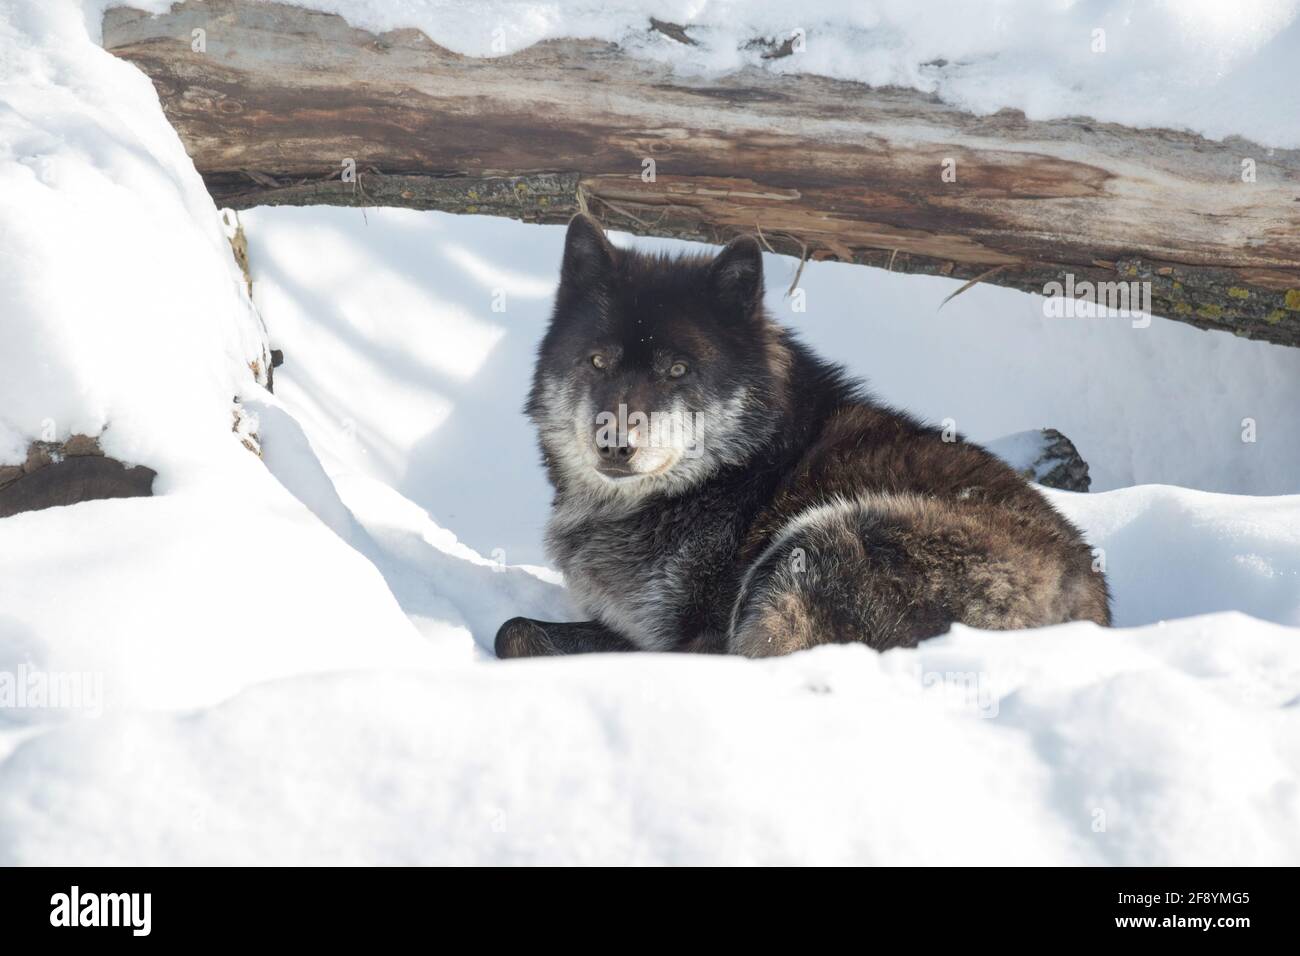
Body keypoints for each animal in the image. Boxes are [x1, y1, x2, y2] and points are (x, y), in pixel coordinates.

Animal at [495, 215, 1110, 658]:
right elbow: (514, 629)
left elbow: (518, 633)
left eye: (677, 370)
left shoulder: (691, 636)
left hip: (817, 537)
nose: (615, 443)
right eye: (598, 361)